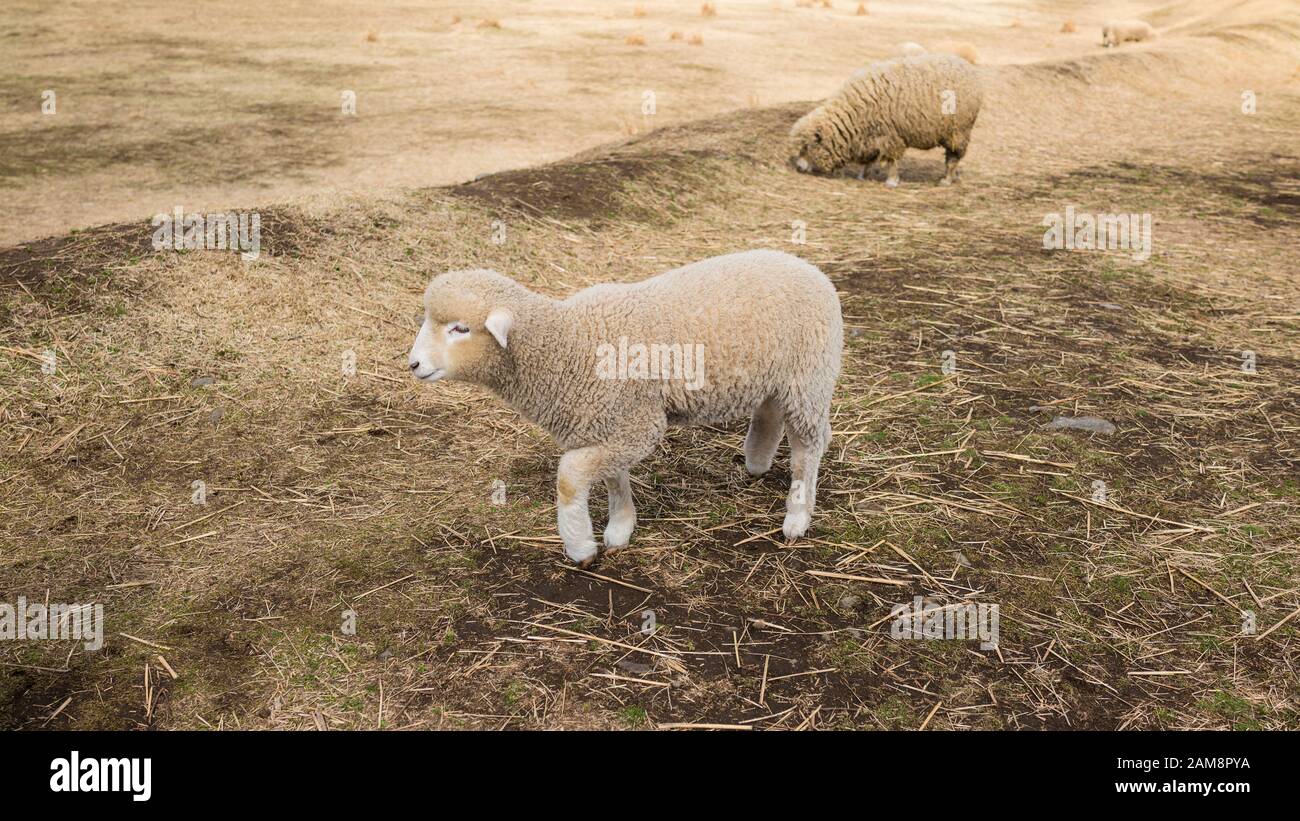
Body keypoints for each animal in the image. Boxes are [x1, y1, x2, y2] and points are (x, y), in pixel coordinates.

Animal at [407, 249, 843, 566]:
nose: (413, 364)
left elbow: (569, 477)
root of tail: (806, 266)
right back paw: (757, 460)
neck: (569, 344)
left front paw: (581, 547)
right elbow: (613, 477)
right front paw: (620, 528)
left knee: (808, 447)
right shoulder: (605, 422)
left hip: (809, 377)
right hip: (777, 376)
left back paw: (797, 515)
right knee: (771, 413)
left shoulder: (638, 425)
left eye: (460, 328)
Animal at [789, 53, 982, 187]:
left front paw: (891, 181)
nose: (798, 168)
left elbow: (891, 161)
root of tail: (966, 66)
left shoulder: (890, 136)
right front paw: (863, 175)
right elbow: (869, 159)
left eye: (807, 147)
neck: (854, 113)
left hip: (958, 131)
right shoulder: (869, 136)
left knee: (953, 157)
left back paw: (947, 179)